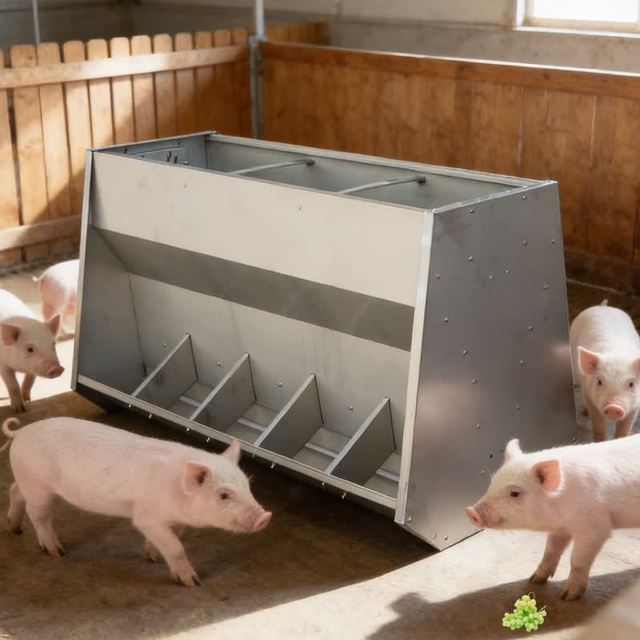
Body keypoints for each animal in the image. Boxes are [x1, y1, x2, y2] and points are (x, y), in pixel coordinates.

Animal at [2, 417, 272, 586]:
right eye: (224, 495)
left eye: (247, 485)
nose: (265, 516)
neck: (177, 492)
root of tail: (21, 432)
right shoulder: (146, 516)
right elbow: (176, 547)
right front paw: (193, 582)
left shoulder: (174, 519)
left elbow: (172, 540)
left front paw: (153, 556)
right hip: (39, 485)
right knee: (39, 515)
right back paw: (56, 551)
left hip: (27, 480)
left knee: (14, 491)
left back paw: (15, 528)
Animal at [464, 436, 640, 600]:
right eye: (492, 484)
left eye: (515, 493)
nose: (470, 511)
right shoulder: (561, 529)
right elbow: (550, 551)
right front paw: (534, 579)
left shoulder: (595, 527)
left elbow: (577, 560)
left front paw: (568, 596)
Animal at [570, 301, 640, 441]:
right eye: (600, 382)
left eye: (631, 384)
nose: (613, 407)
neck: (617, 353)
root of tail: (603, 306)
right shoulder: (589, 397)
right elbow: (598, 425)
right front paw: (599, 441)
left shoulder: (636, 405)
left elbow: (625, 428)